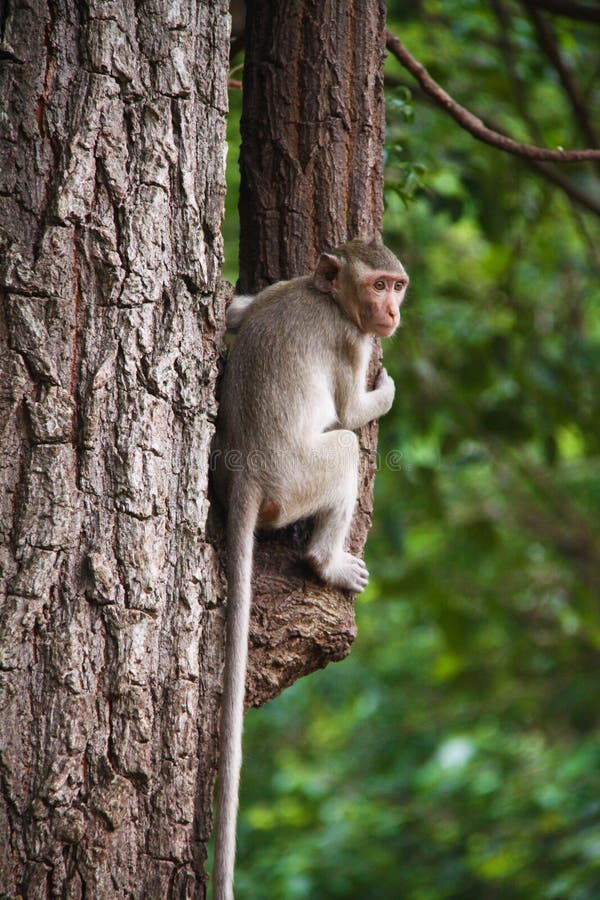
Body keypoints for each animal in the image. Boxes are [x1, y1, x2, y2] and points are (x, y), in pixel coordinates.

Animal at [212, 238, 409, 900]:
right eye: (378, 286)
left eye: (397, 285)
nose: (392, 313)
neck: (325, 295)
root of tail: (246, 473)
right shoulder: (352, 339)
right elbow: (351, 410)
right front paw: (387, 388)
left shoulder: (282, 286)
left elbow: (238, 314)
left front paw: (230, 305)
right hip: (298, 480)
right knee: (343, 446)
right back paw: (327, 564)